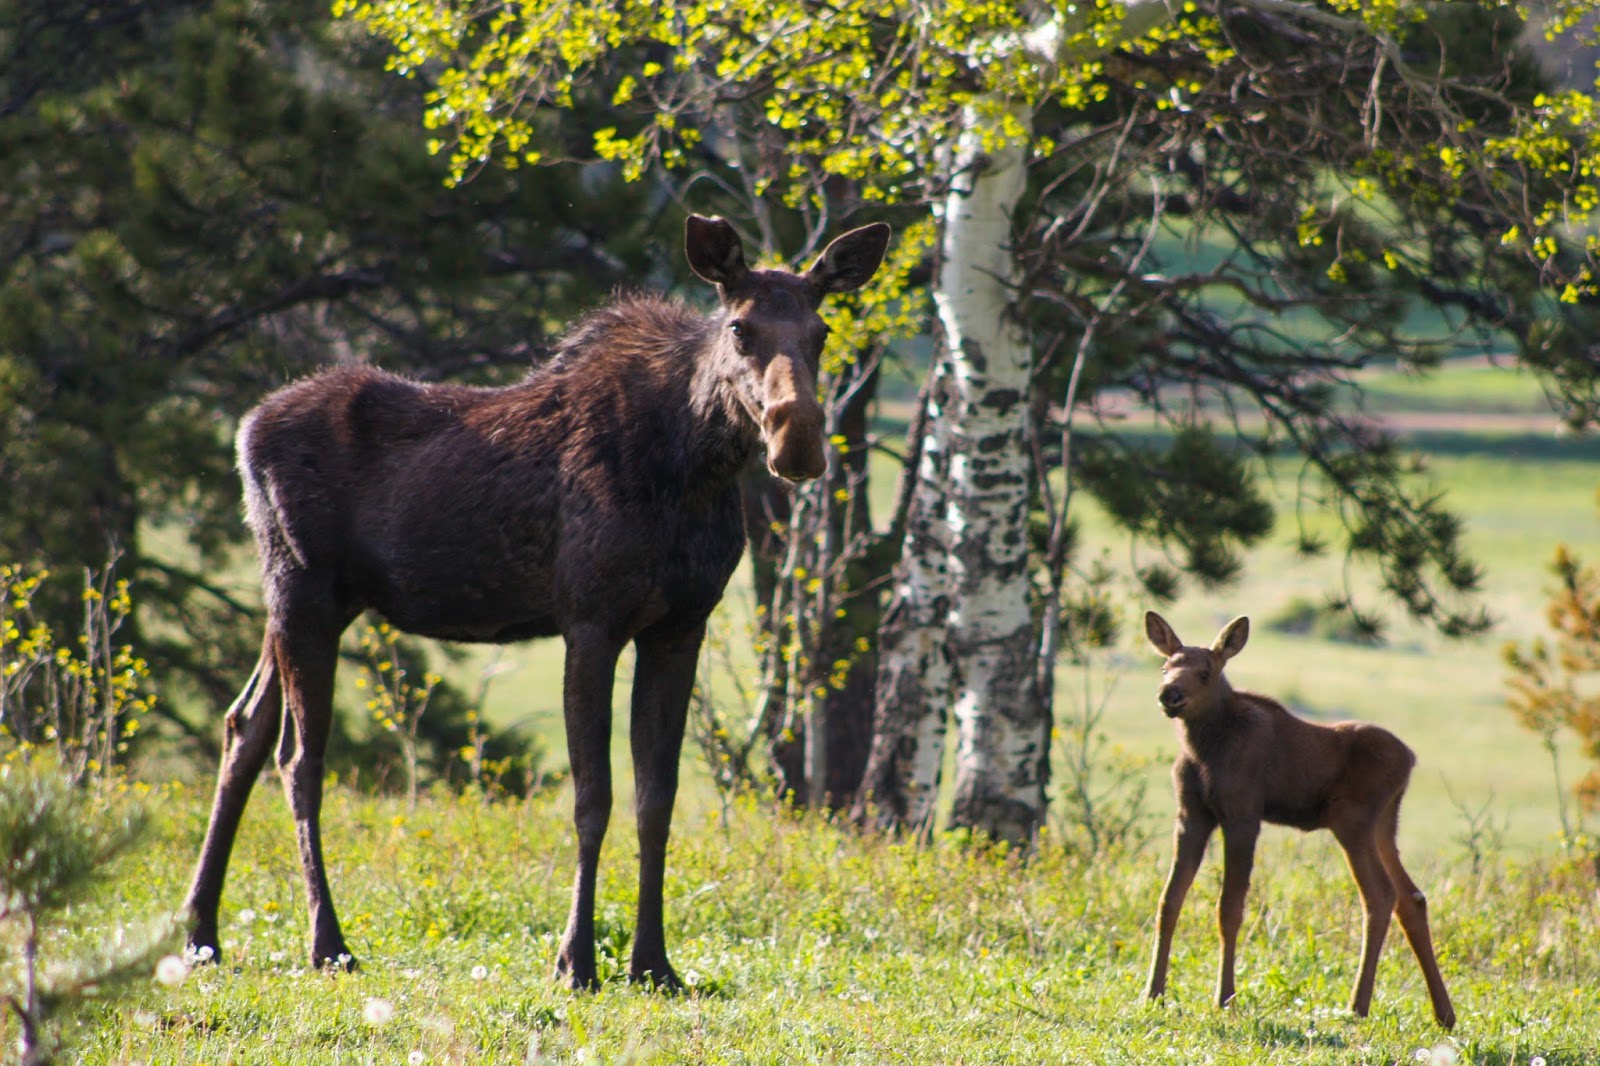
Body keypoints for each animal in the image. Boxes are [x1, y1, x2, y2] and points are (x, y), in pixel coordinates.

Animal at [181, 214, 891, 991]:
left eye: (823, 331)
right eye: (740, 327)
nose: (798, 442)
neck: (694, 468)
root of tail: (244, 428)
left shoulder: (680, 626)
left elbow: (658, 798)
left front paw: (654, 963)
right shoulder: (589, 619)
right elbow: (593, 797)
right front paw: (575, 960)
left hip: (314, 601)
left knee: (242, 726)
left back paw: (201, 932)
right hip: (302, 588)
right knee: (299, 758)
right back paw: (326, 943)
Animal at [1141, 610, 1455, 1029]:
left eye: (1205, 672)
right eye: (1165, 667)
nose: (1169, 694)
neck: (1204, 750)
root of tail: (1411, 760)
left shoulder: (1243, 814)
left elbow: (1229, 908)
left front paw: (1225, 998)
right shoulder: (1191, 815)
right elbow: (1169, 900)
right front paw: (1153, 993)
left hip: (1352, 821)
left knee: (1380, 894)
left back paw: (1357, 1005)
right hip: (1384, 825)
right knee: (1412, 896)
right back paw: (1444, 1013)